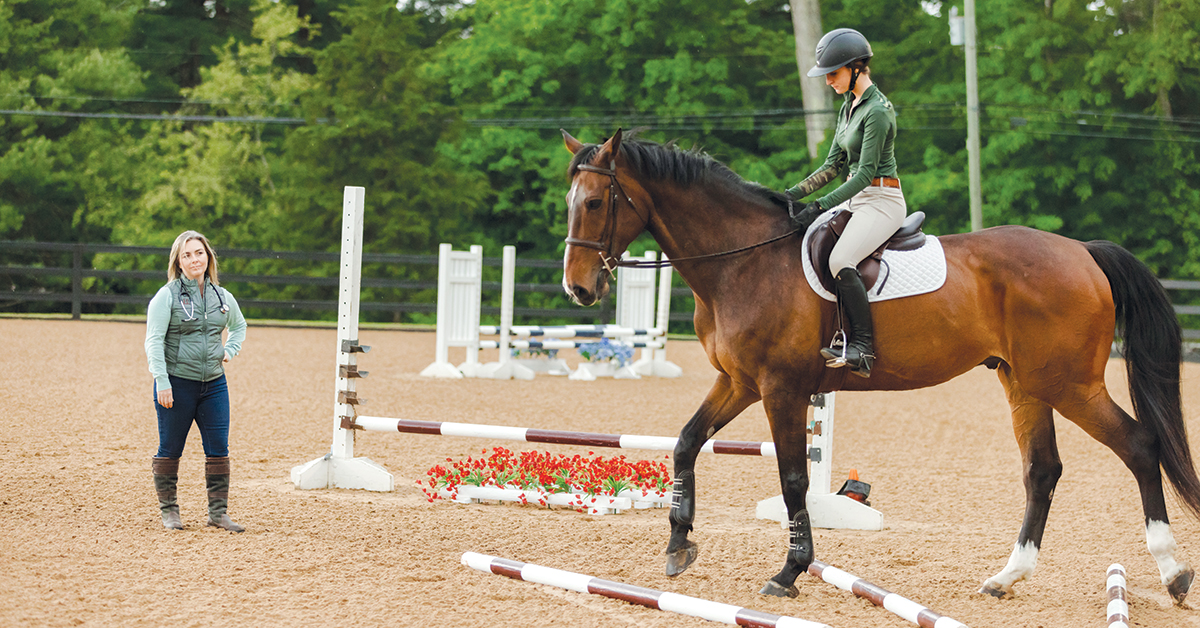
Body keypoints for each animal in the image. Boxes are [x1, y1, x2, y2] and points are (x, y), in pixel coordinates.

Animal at [558, 128, 1200, 604]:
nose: (578, 289)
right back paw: (1006, 577)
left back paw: (1172, 573)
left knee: (1140, 446)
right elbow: (686, 442)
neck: (742, 263)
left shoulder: (780, 388)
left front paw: (790, 572)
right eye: (572, 204)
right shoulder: (737, 382)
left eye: (594, 203)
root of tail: (1083, 252)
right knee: (1043, 470)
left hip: (1069, 384)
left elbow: (793, 478)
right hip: (1025, 384)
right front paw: (677, 546)